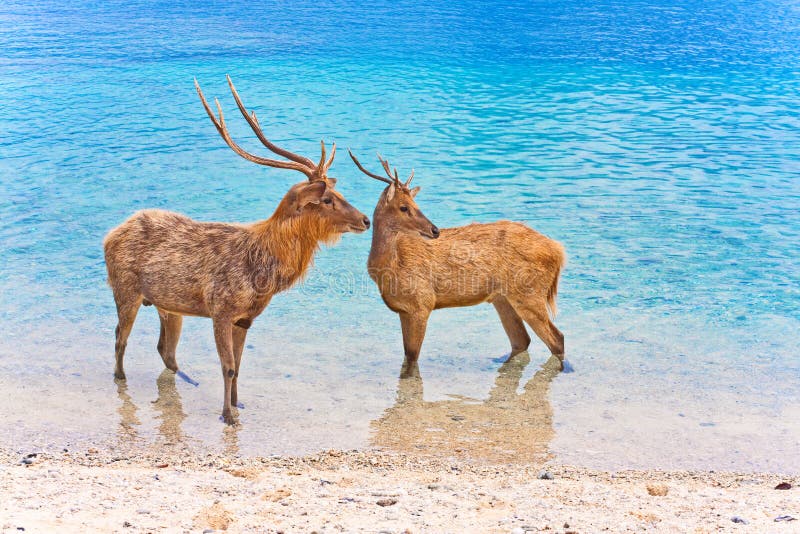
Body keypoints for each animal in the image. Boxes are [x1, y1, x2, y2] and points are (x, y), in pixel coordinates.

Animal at [103, 76, 370, 424]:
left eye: (339, 193)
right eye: (327, 199)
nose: (365, 219)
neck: (263, 274)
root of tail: (109, 236)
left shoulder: (245, 318)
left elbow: (239, 368)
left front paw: (239, 405)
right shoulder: (221, 309)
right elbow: (228, 367)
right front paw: (226, 416)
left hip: (168, 304)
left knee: (165, 349)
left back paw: (189, 379)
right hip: (125, 289)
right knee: (119, 336)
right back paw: (121, 379)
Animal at [349, 151, 566, 376]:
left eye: (416, 205)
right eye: (404, 207)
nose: (435, 230)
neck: (390, 268)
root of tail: (558, 252)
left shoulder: (422, 304)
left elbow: (412, 357)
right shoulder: (404, 310)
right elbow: (407, 356)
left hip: (530, 293)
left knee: (556, 338)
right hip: (503, 298)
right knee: (522, 340)